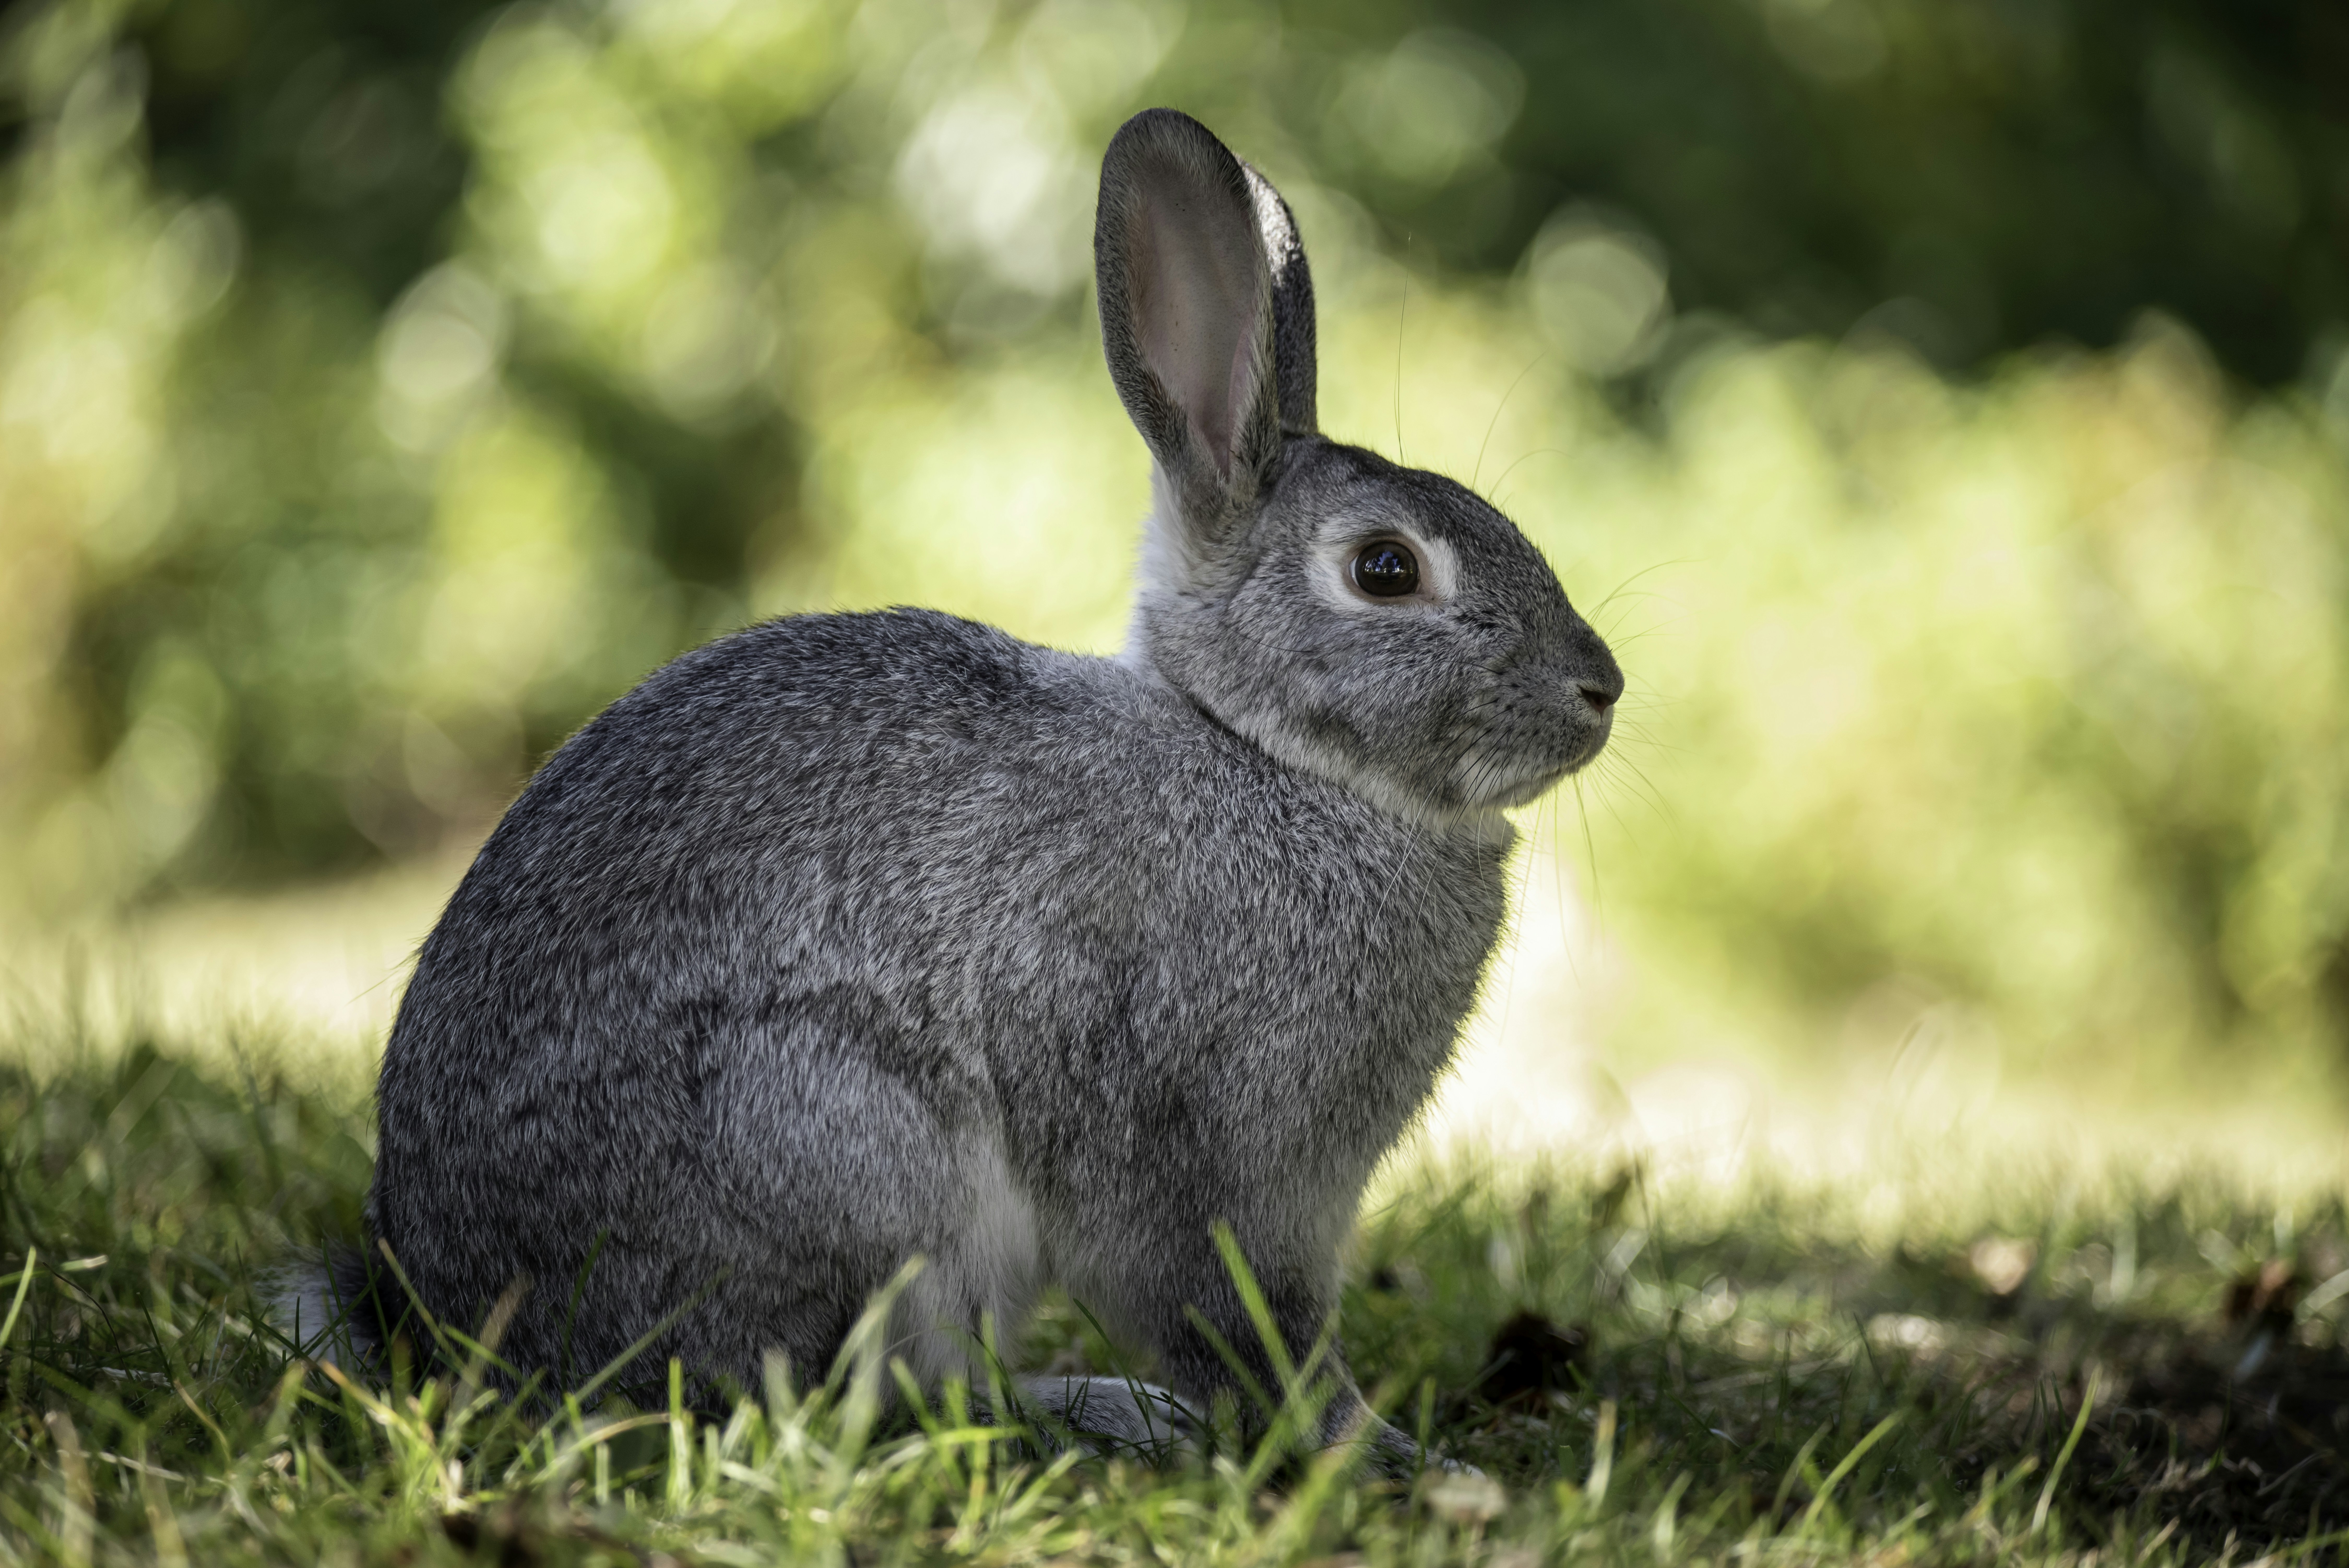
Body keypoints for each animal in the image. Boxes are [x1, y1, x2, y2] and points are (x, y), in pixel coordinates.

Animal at [294, 108, 1623, 1475]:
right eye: (1384, 569)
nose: (1601, 688)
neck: (1269, 759)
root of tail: (453, 1326)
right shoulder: (1212, 1158)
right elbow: (1253, 1336)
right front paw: (1386, 1455)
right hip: (850, 1146)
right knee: (862, 1404)